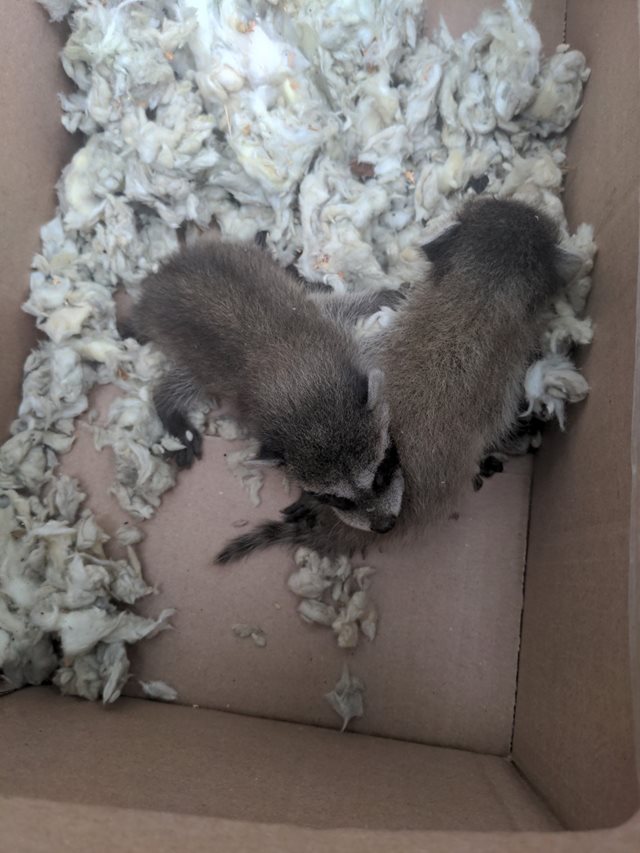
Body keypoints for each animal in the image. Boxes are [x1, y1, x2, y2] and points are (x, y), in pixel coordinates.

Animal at [129, 240, 404, 532]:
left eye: (380, 473)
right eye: (334, 498)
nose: (383, 526)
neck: (298, 384)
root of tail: (157, 281)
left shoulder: (324, 324)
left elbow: (348, 304)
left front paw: (387, 296)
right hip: (191, 355)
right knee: (178, 384)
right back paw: (168, 407)